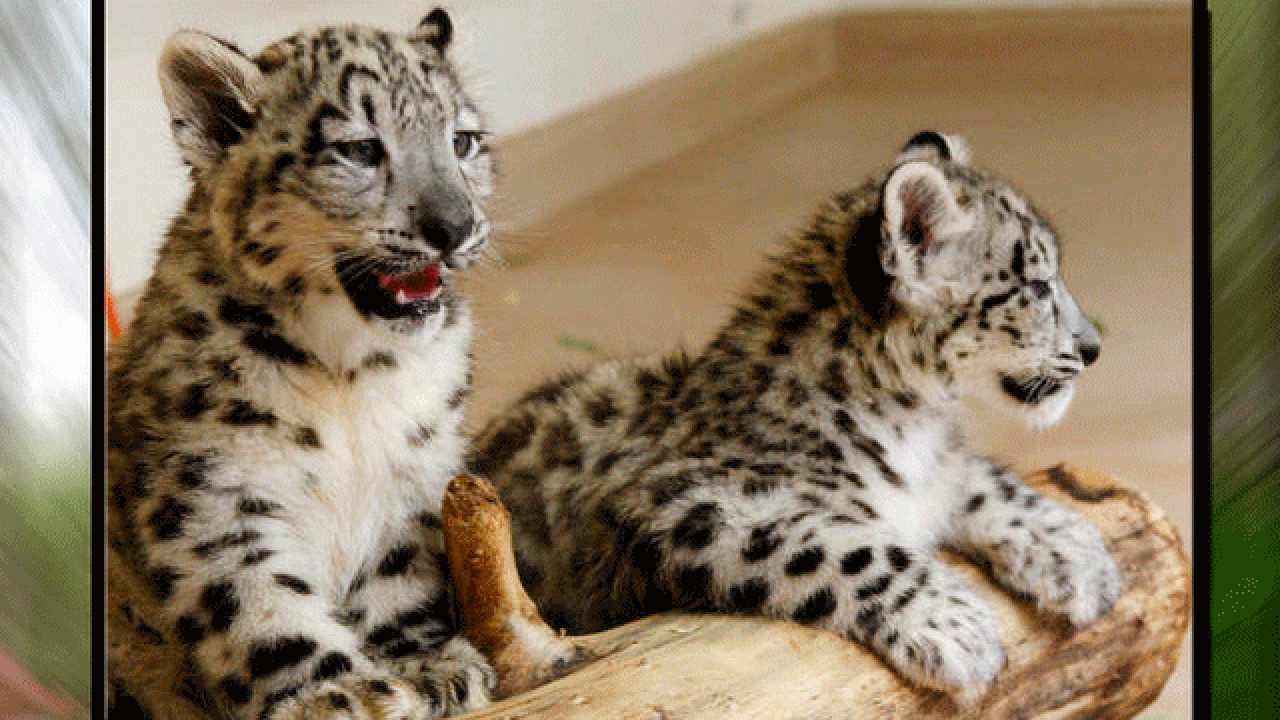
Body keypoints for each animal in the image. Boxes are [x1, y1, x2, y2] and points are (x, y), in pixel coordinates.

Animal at [107, 10, 501, 719]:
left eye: (463, 140)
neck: (353, 374)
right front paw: (340, 693)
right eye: (360, 150)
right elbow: (256, 605)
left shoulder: (408, 480)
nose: (456, 227)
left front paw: (425, 667)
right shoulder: (214, 495)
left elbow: (397, 579)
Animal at [469, 131, 1122, 699]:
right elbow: (842, 545)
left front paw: (1075, 552)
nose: (1093, 347)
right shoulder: (685, 502)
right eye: (1036, 286)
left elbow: (976, 477)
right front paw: (956, 626)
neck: (912, 423)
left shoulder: (940, 466)